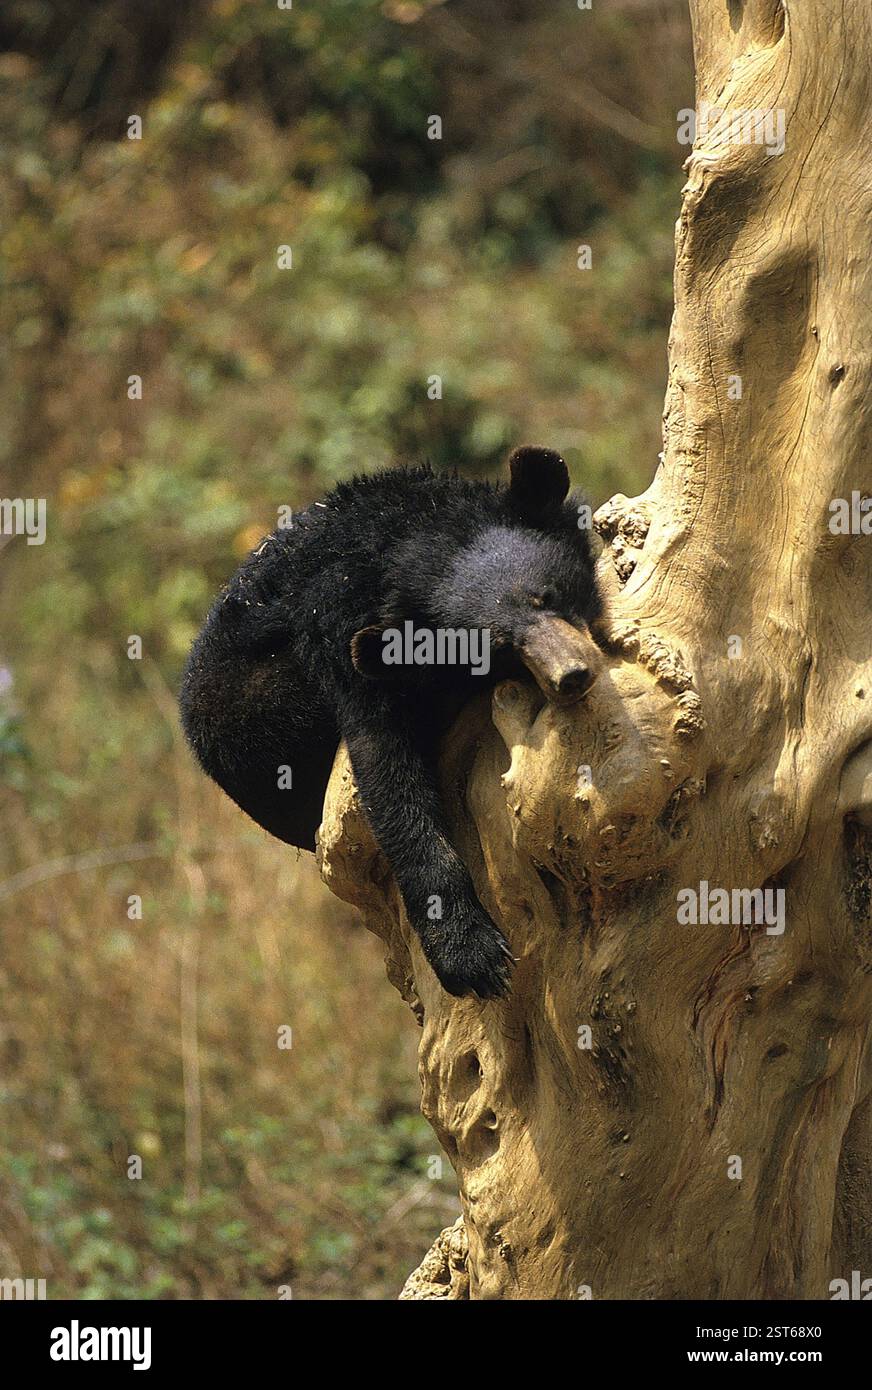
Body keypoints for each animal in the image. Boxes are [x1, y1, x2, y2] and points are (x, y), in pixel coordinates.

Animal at [179, 446, 604, 999]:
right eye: (498, 649)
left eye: (547, 595)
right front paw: (472, 957)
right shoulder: (340, 639)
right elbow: (388, 774)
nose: (572, 675)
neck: (406, 539)